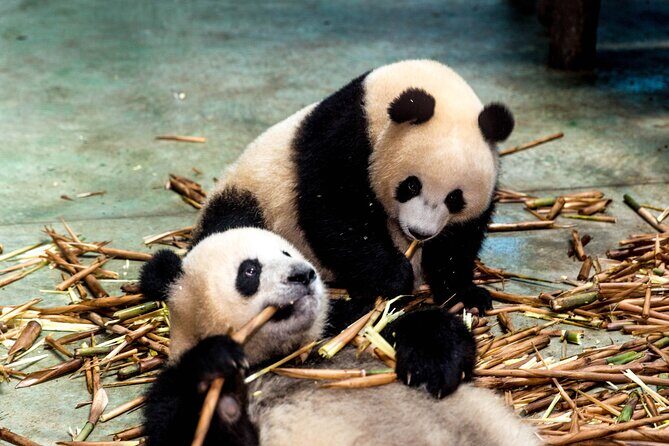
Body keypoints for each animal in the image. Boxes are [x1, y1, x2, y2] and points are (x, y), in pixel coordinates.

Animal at [140, 228, 537, 446]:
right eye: (250, 270)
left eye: (287, 251)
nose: (304, 274)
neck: (280, 357)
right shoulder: (170, 387)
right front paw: (216, 369)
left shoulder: (341, 330)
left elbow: (403, 324)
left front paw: (432, 365)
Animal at [192, 59, 513, 397]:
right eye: (411, 185)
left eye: (455, 198)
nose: (419, 232)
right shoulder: (344, 138)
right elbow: (335, 212)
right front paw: (394, 276)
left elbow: (458, 242)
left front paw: (465, 294)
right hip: (251, 197)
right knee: (234, 225)